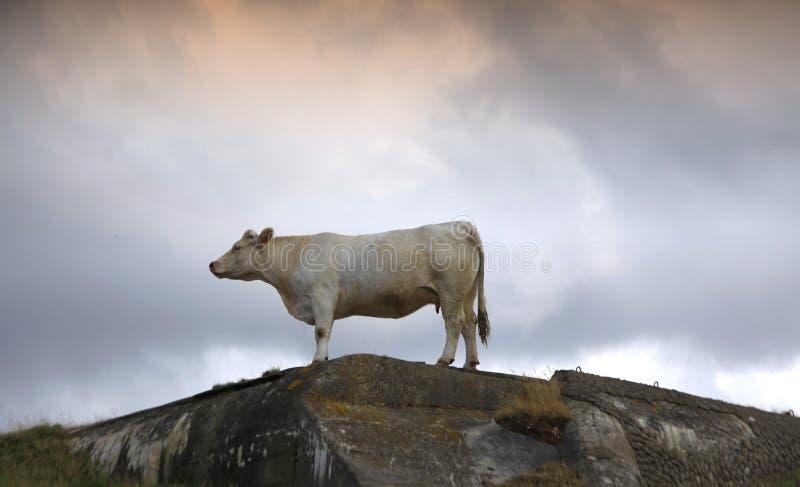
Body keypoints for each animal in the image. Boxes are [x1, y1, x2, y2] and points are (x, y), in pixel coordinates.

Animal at [209, 222, 490, 369]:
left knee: (454, 322)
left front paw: (317, 359)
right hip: (466, 293)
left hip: (450, 290)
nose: (213, 264)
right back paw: (470, 363)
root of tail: (460, 225)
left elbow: (322, 330)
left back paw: (444, 359)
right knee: (469, 323)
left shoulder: (322, 295)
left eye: (237, 247)